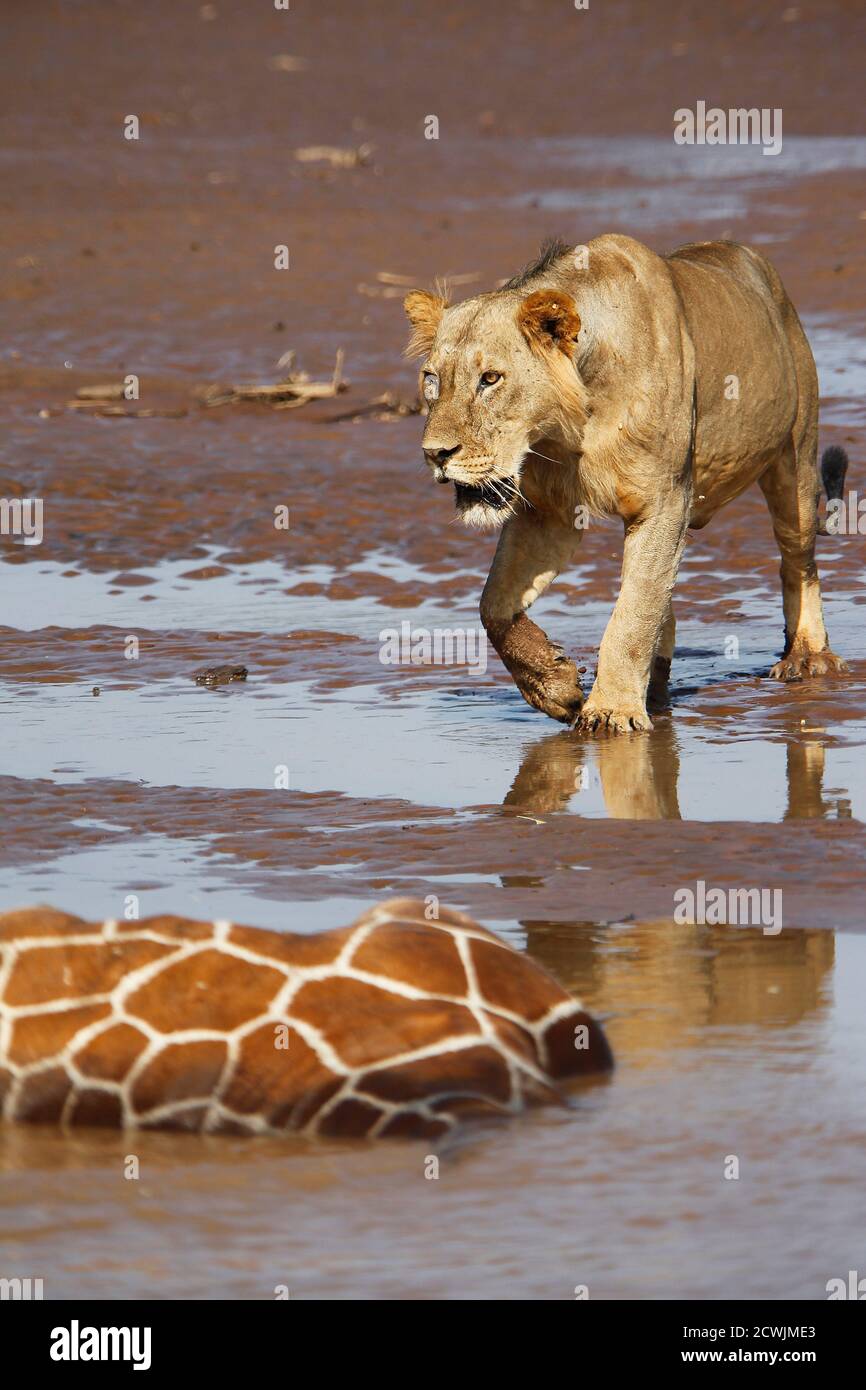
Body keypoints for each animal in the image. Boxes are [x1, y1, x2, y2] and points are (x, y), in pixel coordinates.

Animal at [404, 234, 848, 733]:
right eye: (431, 380)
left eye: (491, 379)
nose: (436, 454)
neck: (572, 427)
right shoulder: (549, 514)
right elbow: (494, 605)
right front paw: (554, 685)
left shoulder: (664, 501)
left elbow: (631, 616)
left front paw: (610, 712)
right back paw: (656, 691)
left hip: (796, 457)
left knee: (798, 560)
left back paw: (806, 657)